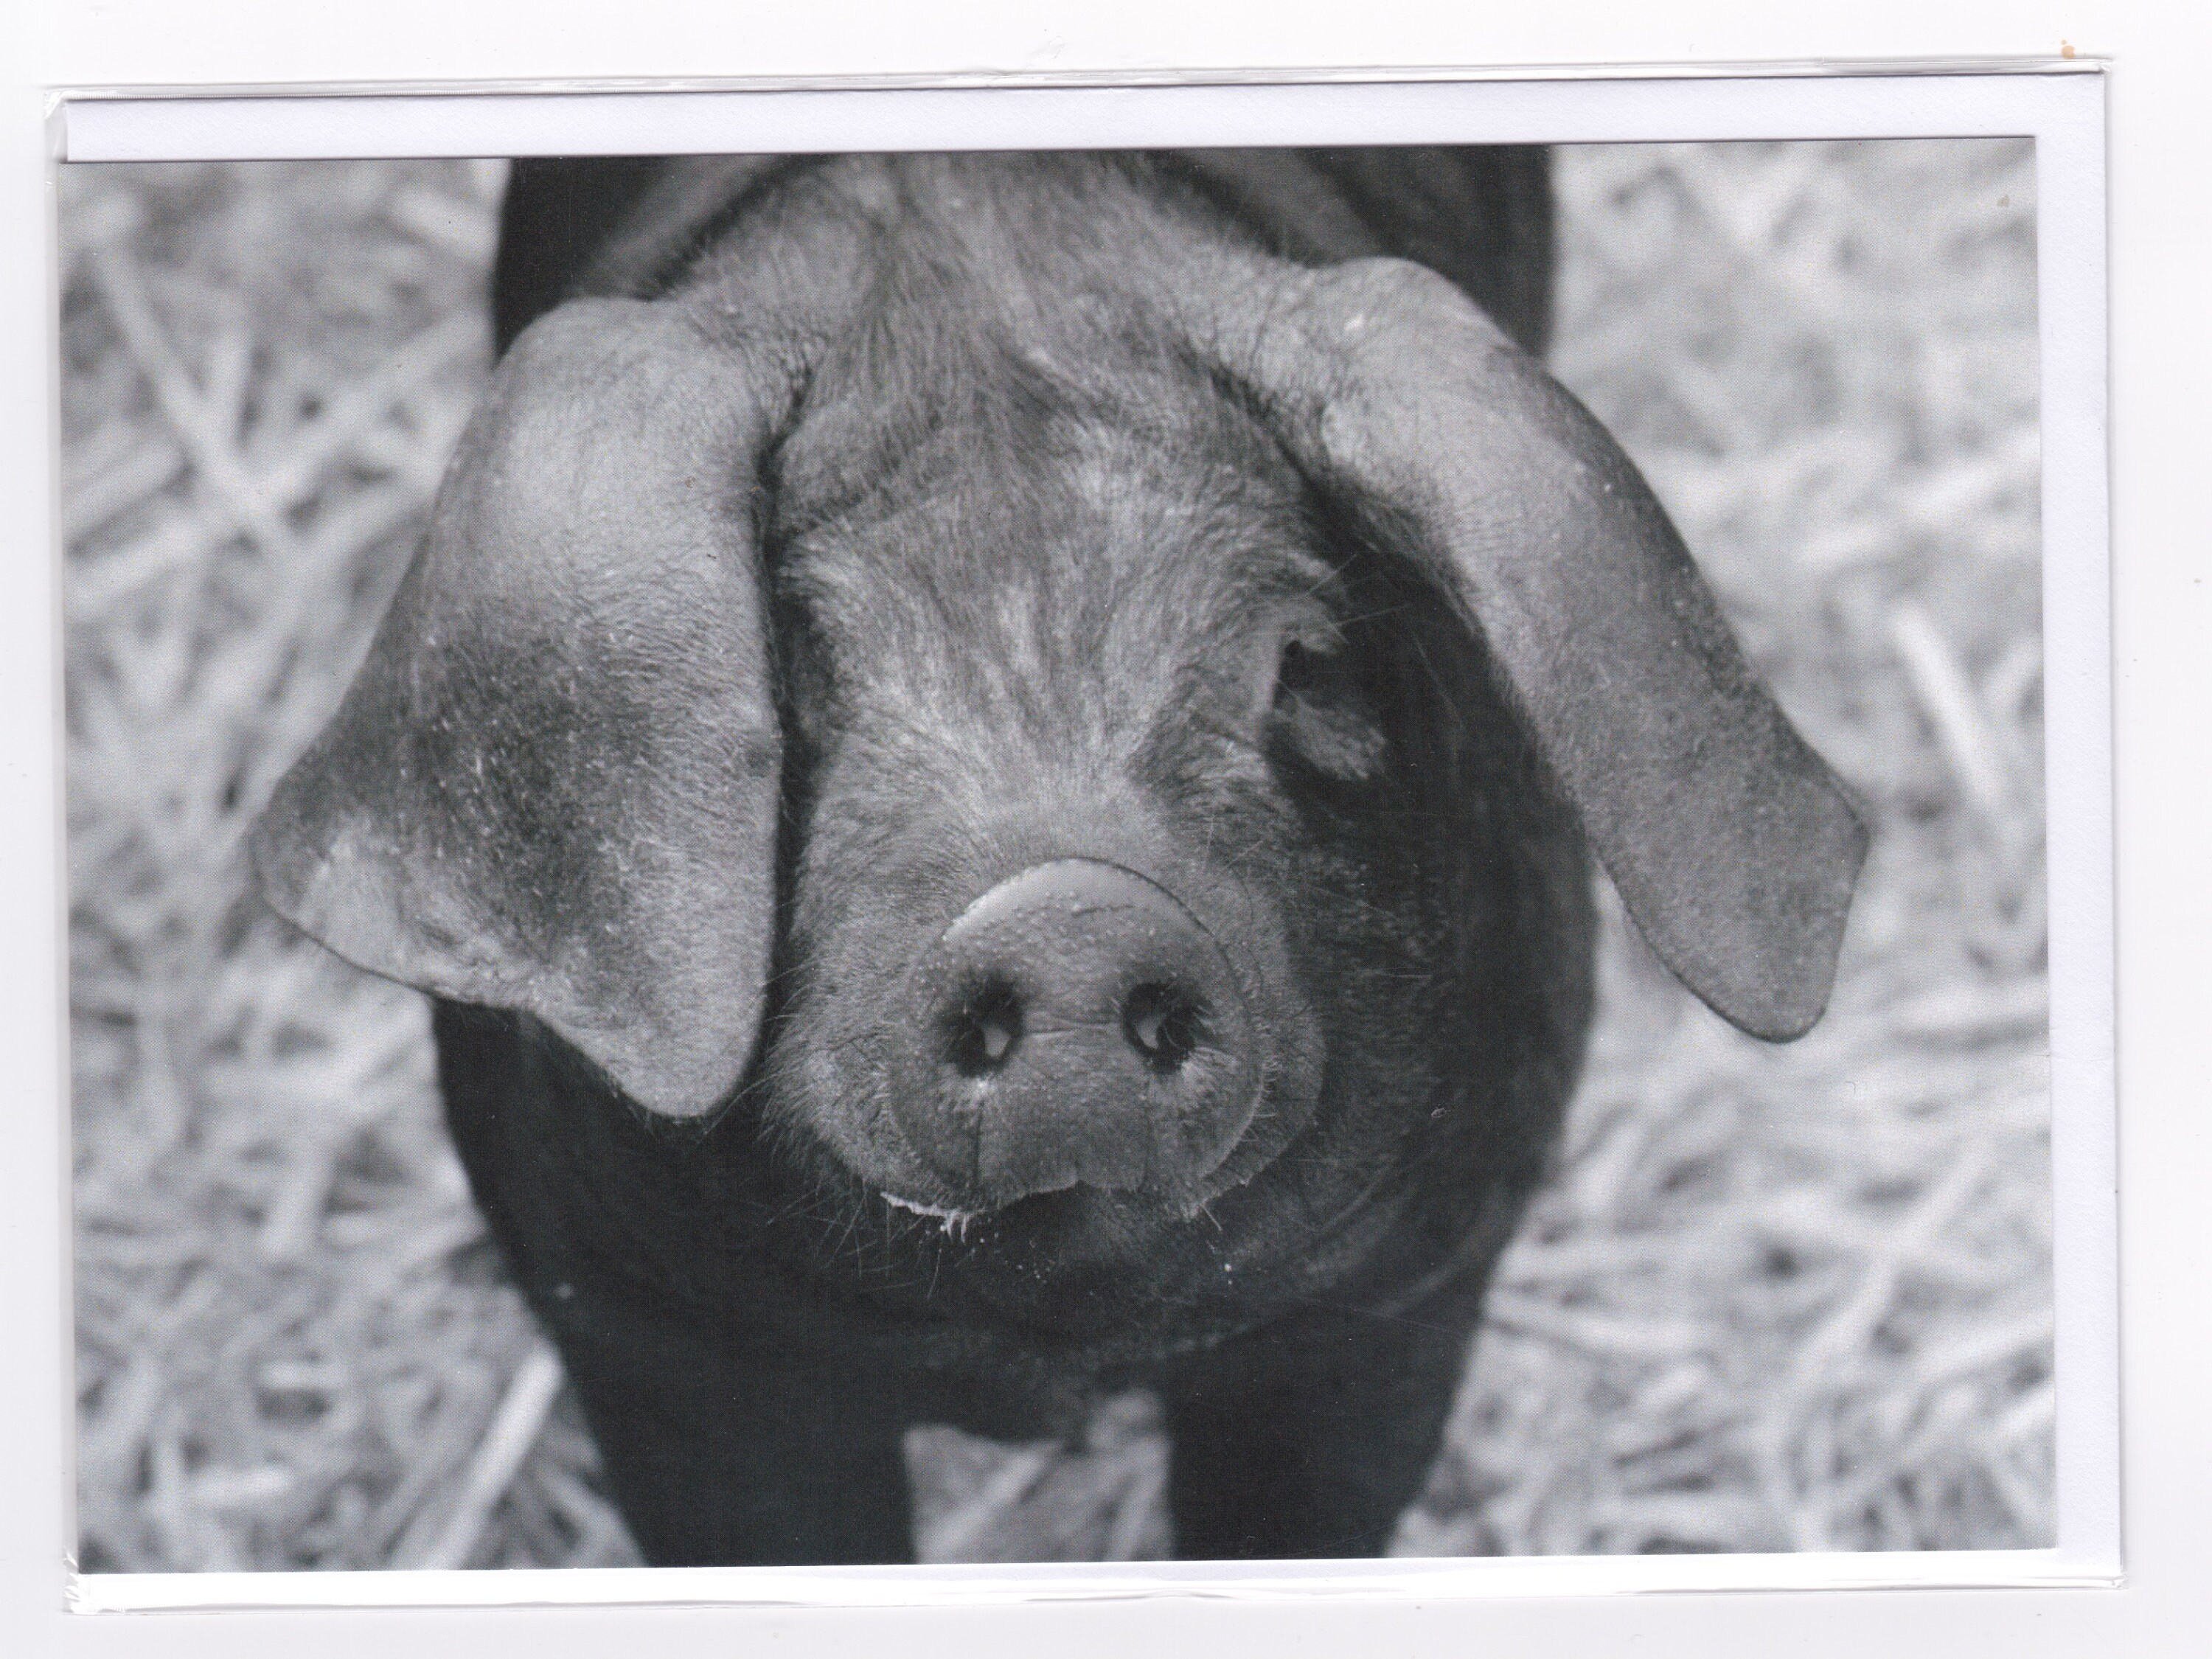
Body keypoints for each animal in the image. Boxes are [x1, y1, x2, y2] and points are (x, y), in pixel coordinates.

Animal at [250, 148, 1866, 1566]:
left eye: (1300, 664)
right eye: (801, 674)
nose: (1072, 915)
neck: (1052, 1339)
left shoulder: (1402, 1302)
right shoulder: (651, 1337)